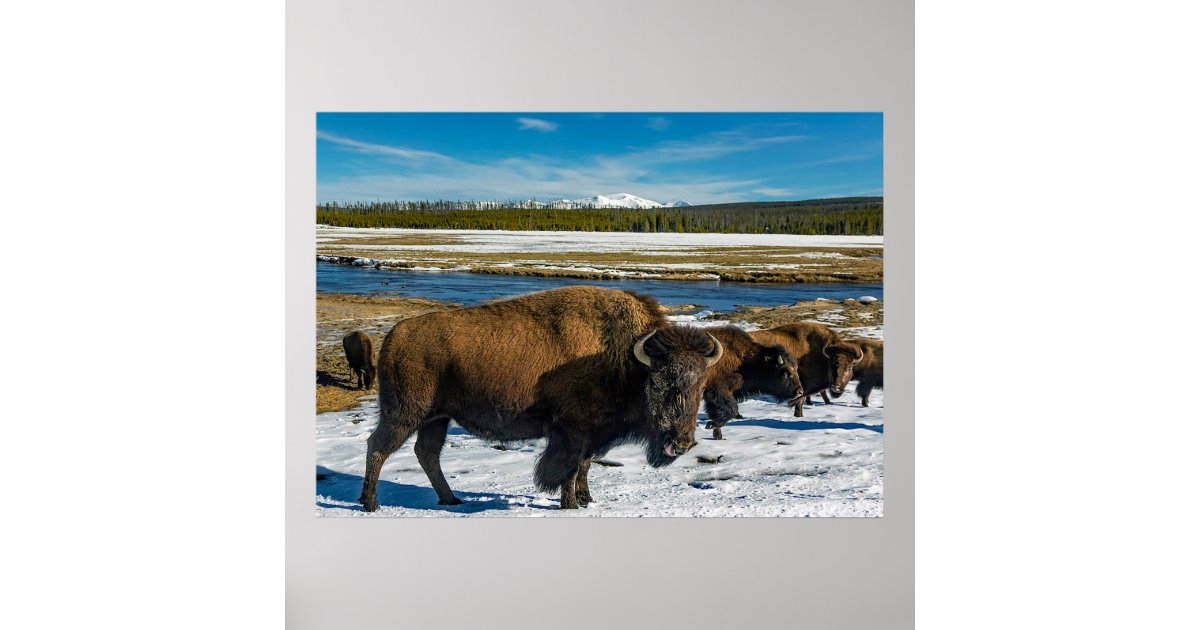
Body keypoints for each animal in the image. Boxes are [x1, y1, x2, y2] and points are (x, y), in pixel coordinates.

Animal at [359, 286, 724, 511]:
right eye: (658, 383)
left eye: (700, 386)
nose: (681, 444)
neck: (625, 359)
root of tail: (394, 335)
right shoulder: (571, 432)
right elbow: (570, 469)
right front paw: (571, 504)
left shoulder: (590, 434)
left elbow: (584, 466)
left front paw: (586, 499)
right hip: (404, 414)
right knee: (378, 446)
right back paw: (371, 503)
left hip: (437, 418)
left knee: (427, 453)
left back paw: (451, 499)